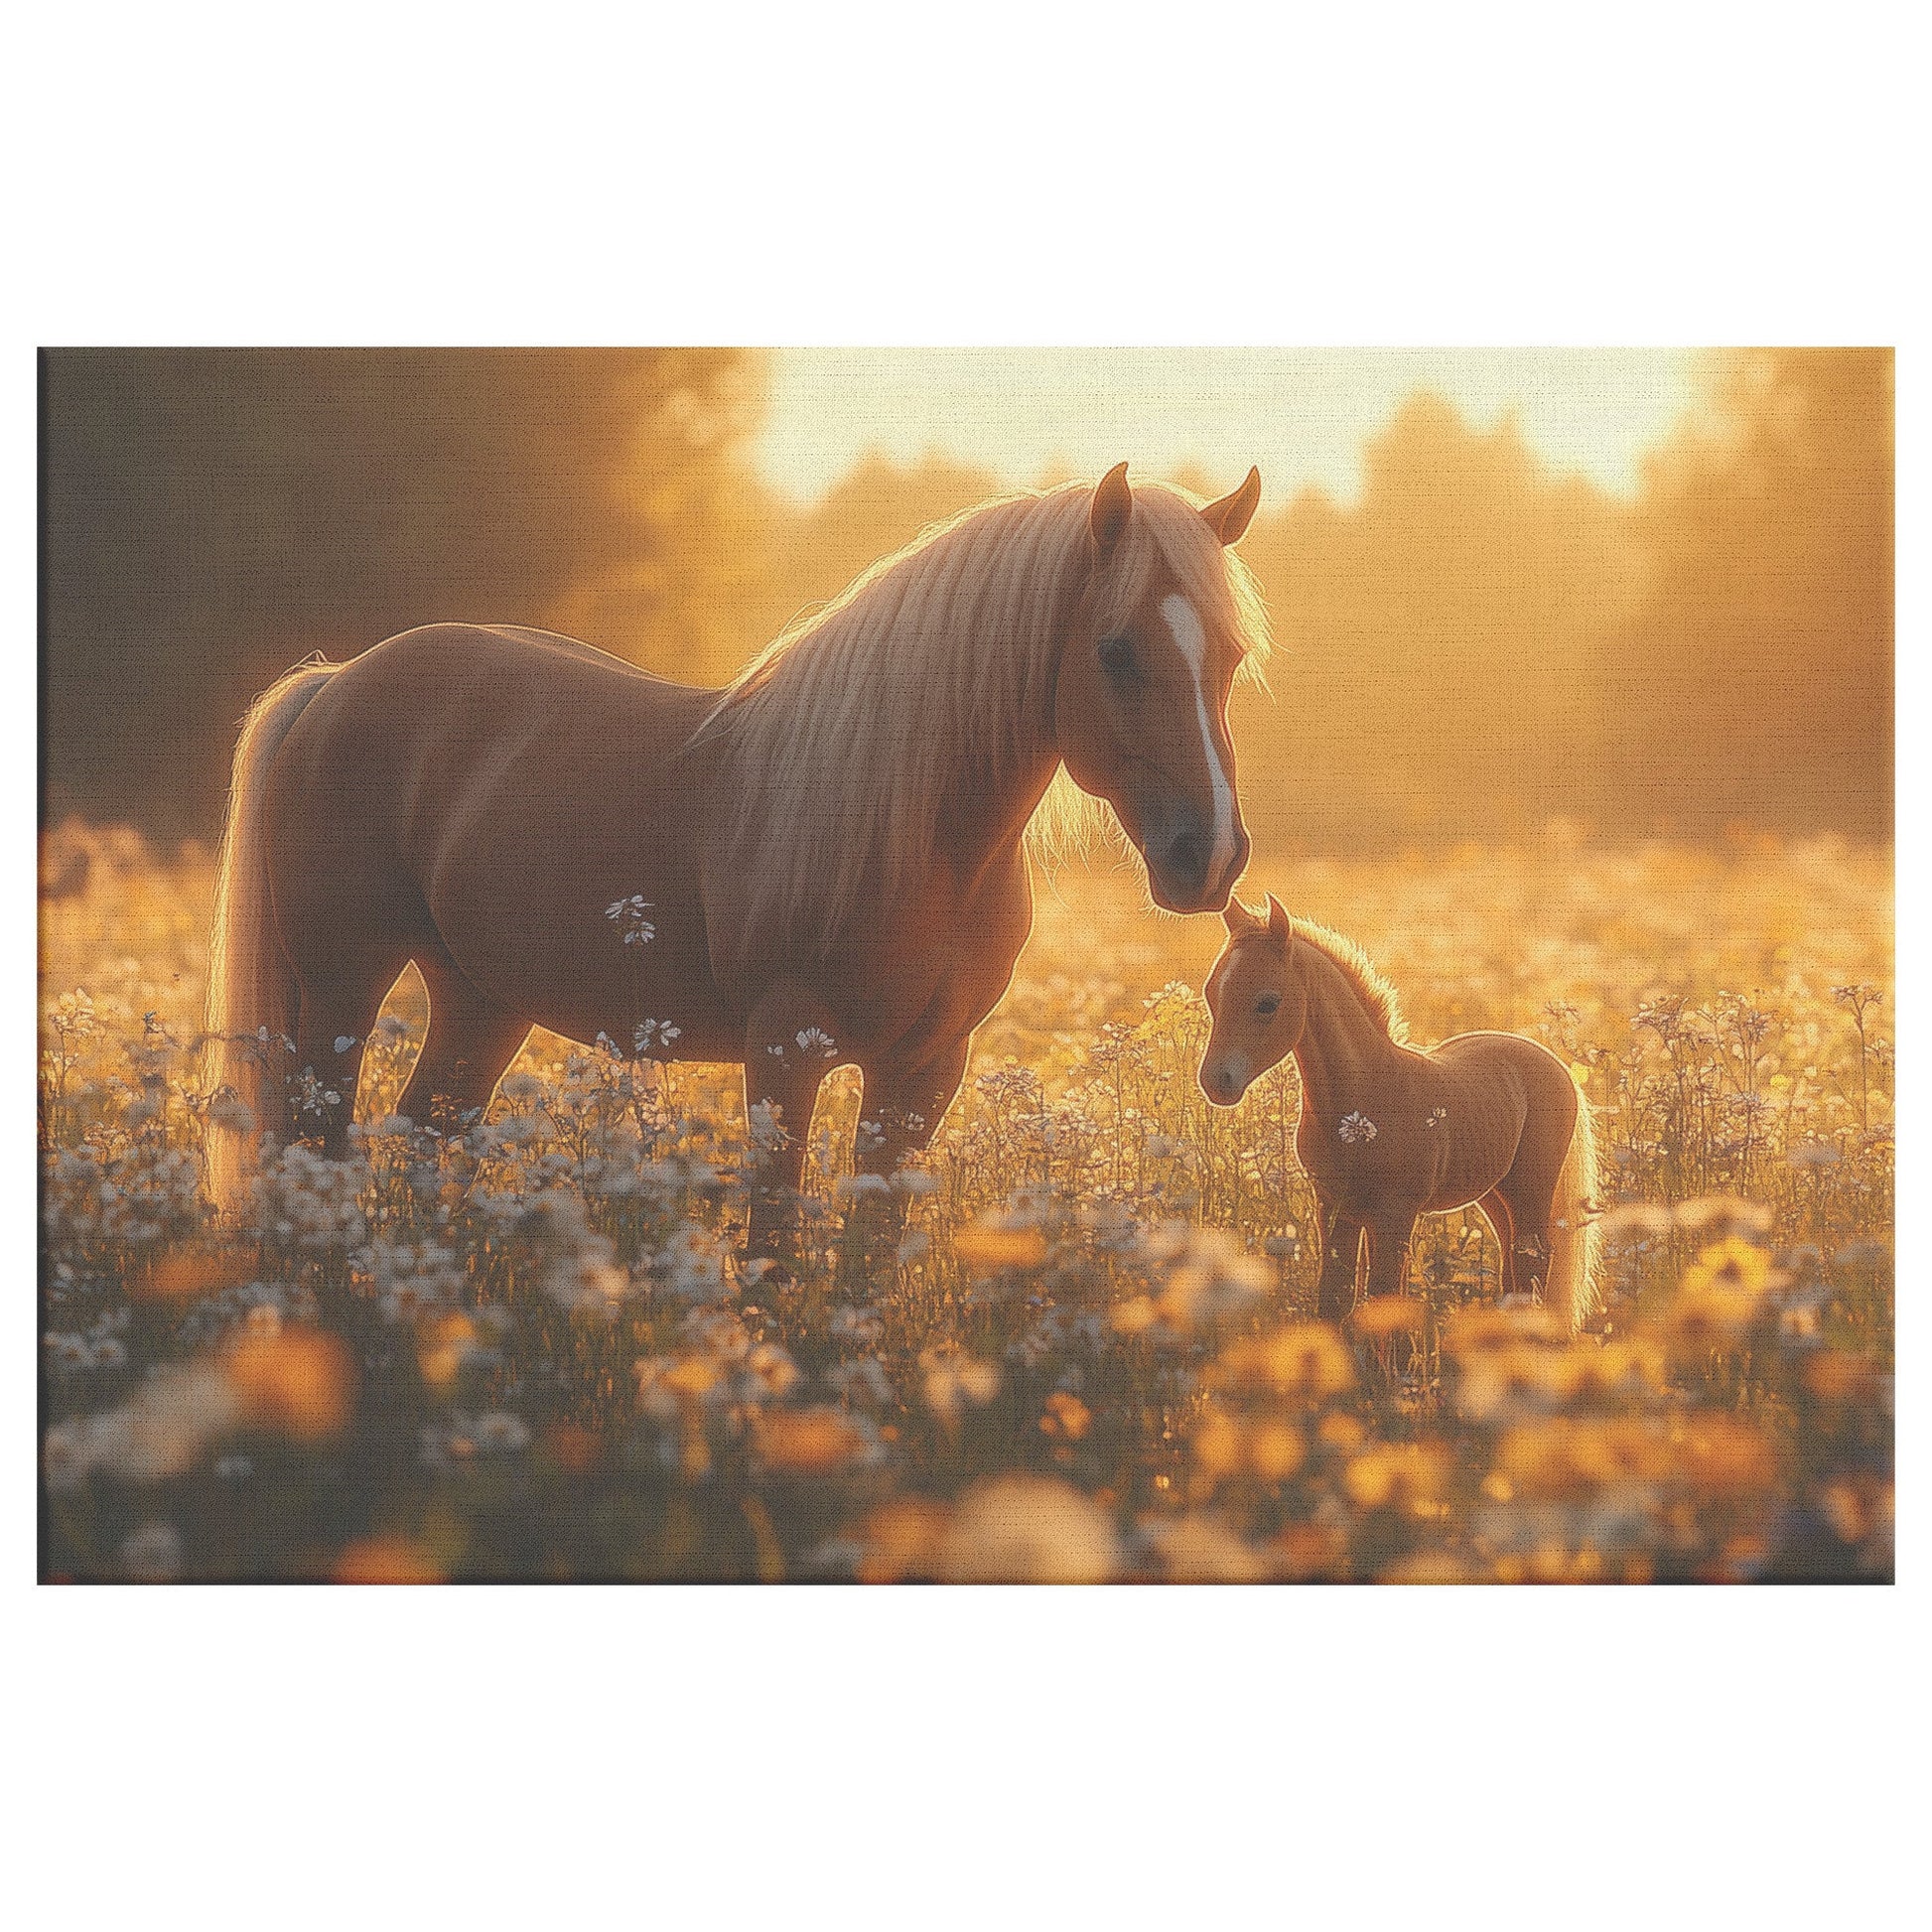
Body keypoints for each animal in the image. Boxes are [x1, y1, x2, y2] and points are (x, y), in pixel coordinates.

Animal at [204, 463, 1273, 1263]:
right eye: (1117, 651)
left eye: (1226, 656)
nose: (1208, 855)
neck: (912, 832)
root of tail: (335, 681)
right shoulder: (784, 1051)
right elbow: (771, 1247)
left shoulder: (924, 1070)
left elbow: (866, 1257)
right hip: (343, 987)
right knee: (317, 1148)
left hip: (480, 998)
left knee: (428, 1129)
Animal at [1197, 895, 1601, 1331]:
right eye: (1212, 994)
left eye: (1267, 1003)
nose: (1216, 1081)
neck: (1360, 1105)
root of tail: (1554, 1063)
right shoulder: (1335, 1211)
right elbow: (1335, 1300)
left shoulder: (1395, 1216)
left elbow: (1385, 1300)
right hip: (1495, 1192)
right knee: (1512, 1258)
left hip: (1531, 1189)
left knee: (1534, 1260)